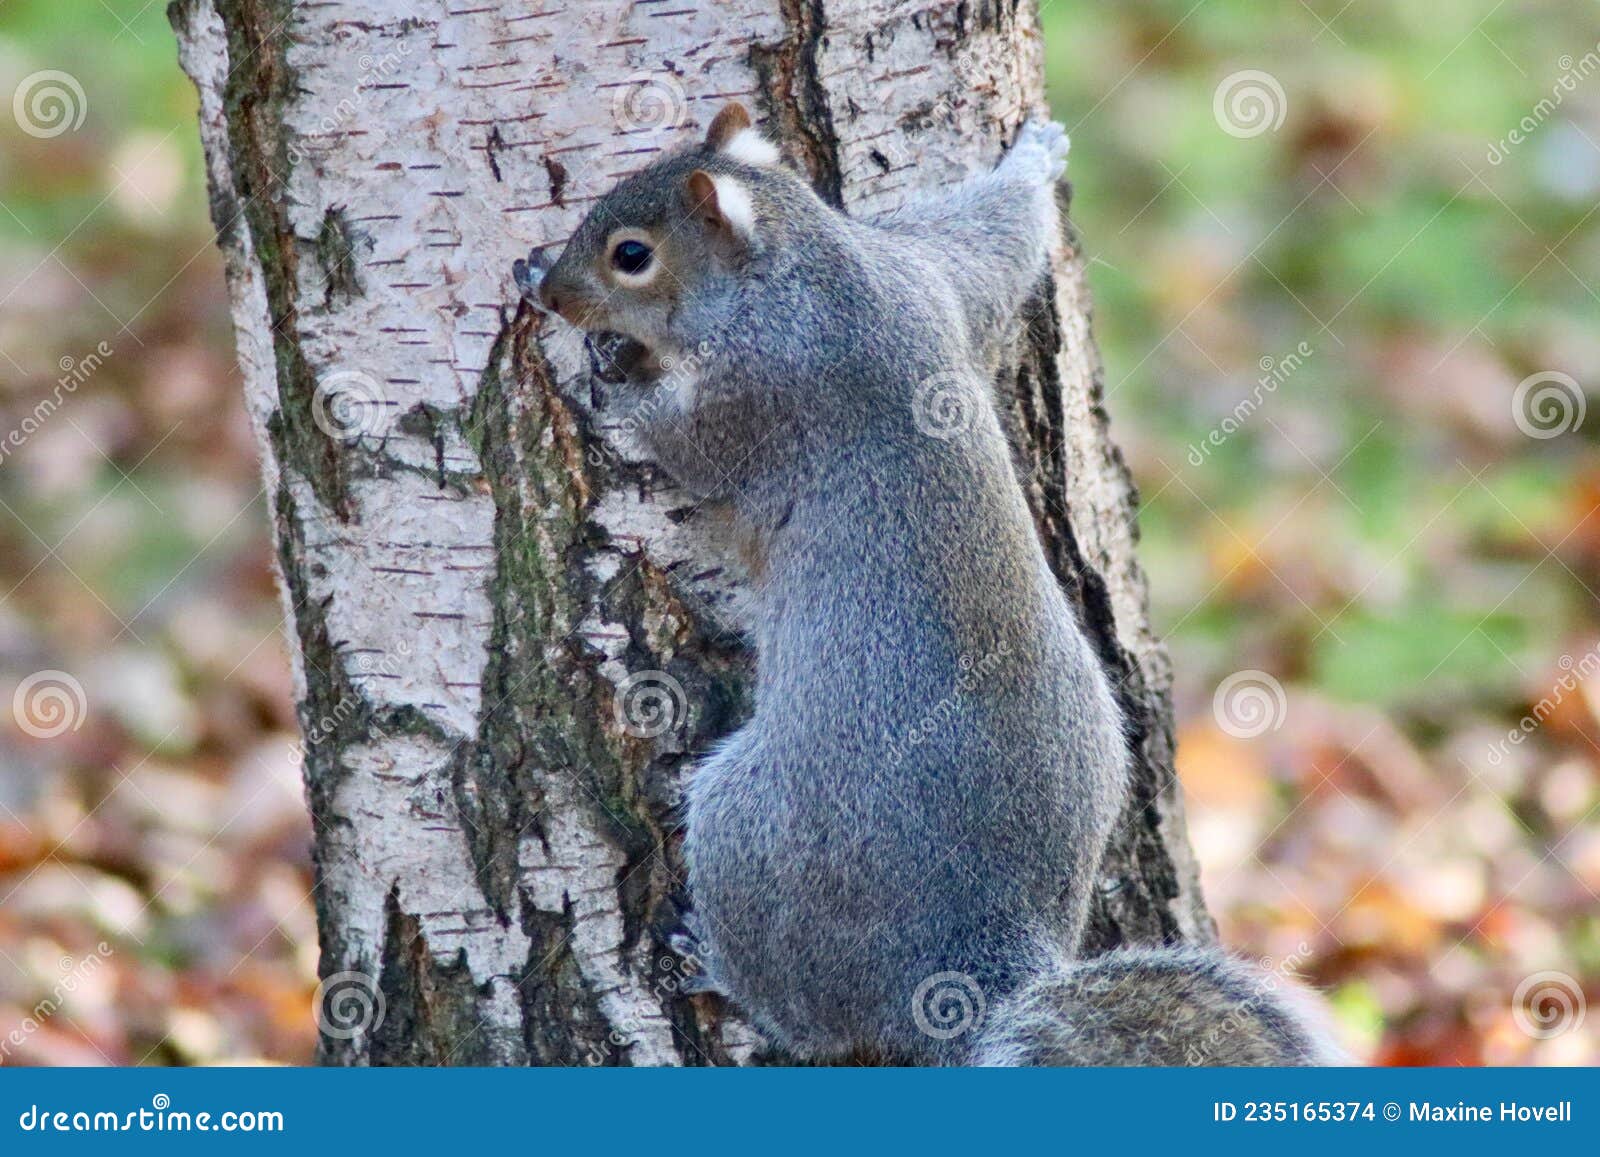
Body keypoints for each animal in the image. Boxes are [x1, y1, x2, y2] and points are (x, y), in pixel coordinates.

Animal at [514, 102, 1343, 1066]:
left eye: (631, 254)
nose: (552, 293)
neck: (811, 268)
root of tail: (974, 965)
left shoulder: (755, 393)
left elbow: (679, 443)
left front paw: (600, 368)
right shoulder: (927, 273)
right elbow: (991, 245)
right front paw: (1034, 160)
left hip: (758, 831)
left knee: (805, 1012)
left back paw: (714, 964)